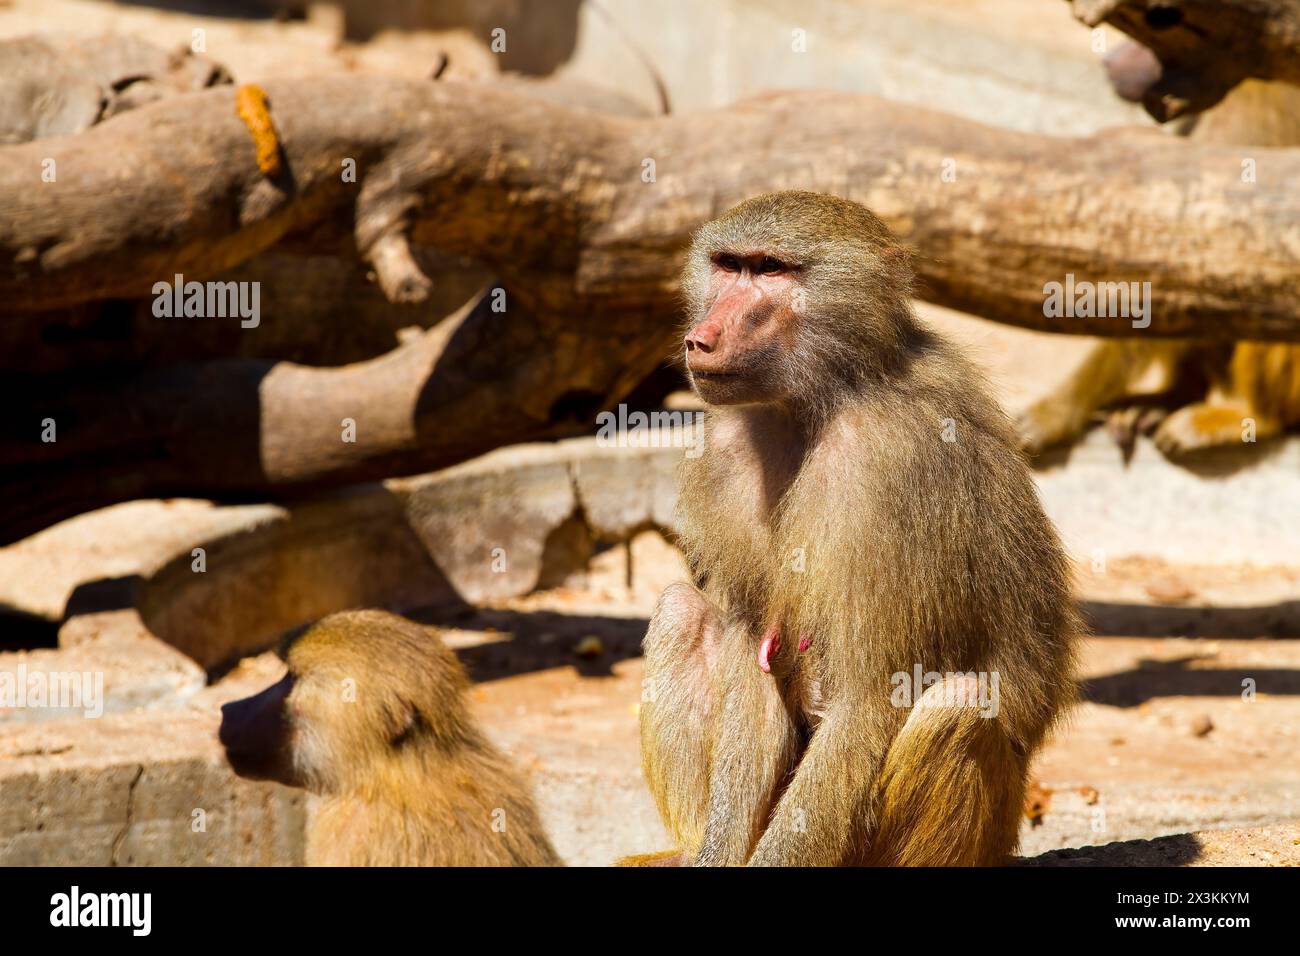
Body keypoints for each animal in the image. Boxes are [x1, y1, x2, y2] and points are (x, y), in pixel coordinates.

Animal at [627, 191, 1079, 867]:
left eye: (772, 270)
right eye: (729, 265)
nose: (701, 340)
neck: (828, 395)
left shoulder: (889, 467)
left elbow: (871, 700)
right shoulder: (727, 448)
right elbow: (753, 663)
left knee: (959, 704)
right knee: (682, 610)